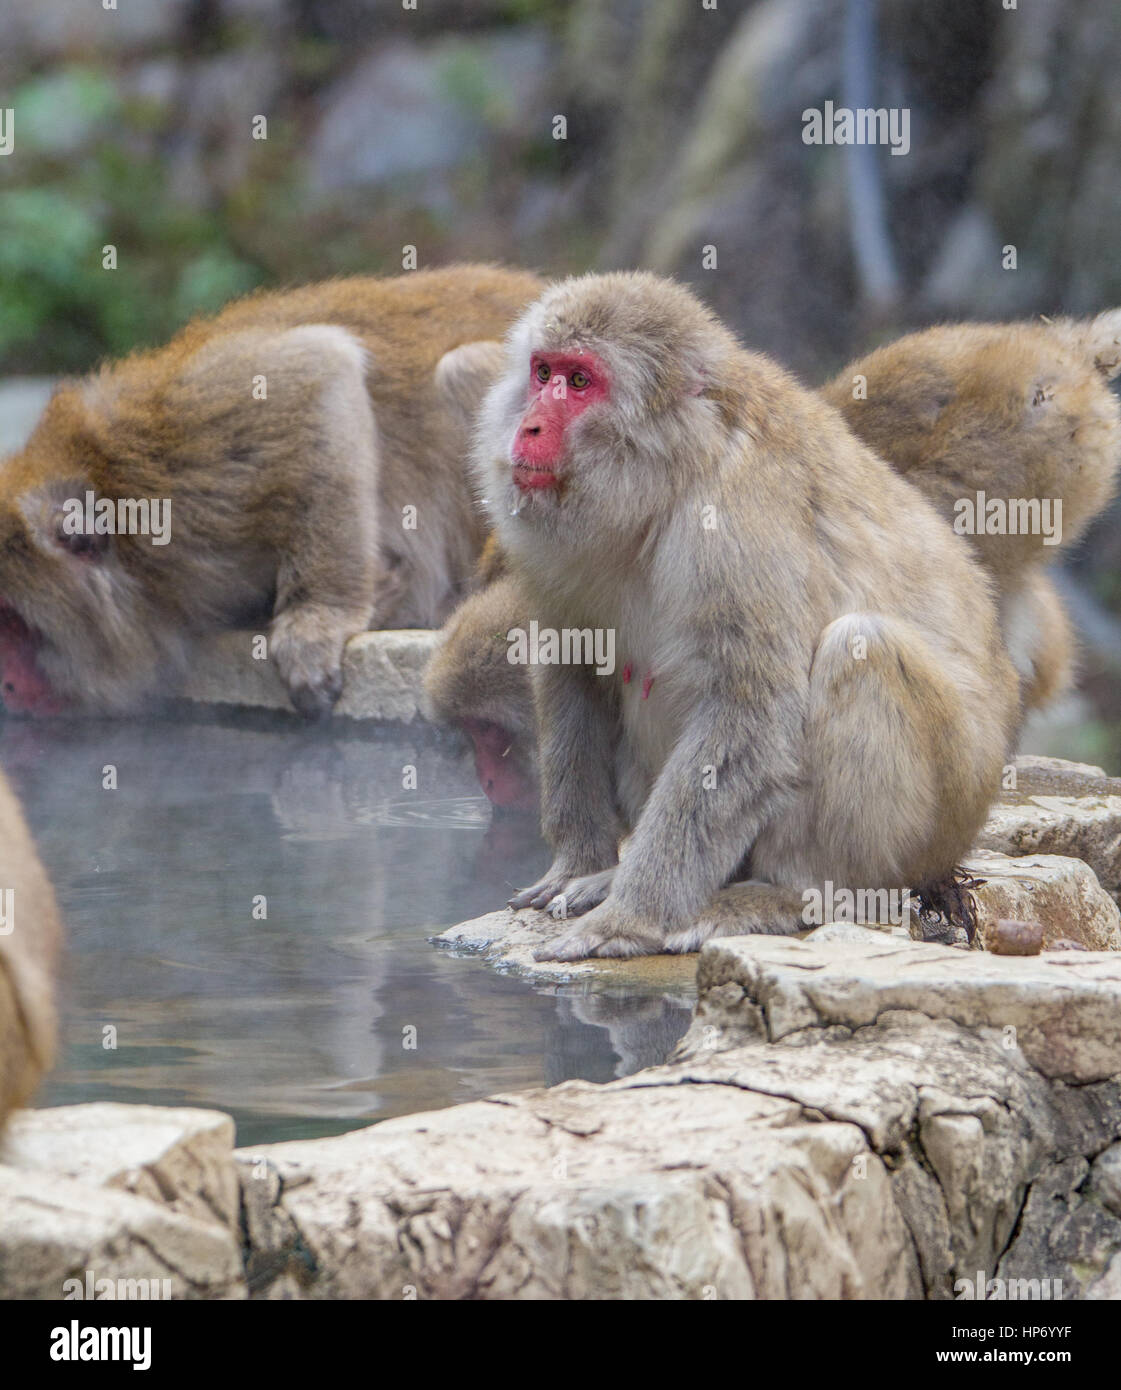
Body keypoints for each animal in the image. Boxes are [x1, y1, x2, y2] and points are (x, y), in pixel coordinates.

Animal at [0, 265, 543, 719]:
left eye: (11, 624)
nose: (5, 686)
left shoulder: (186, 457)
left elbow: (317, 368)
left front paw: (317, 620)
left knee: (460, 370)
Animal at [471, 271, 1026, 959]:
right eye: (542, 370)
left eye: (579, 382)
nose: (528, 428)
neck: (674, 473)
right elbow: (576, 667)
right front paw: (581, 866)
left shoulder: (736, 526)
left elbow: (749, 716)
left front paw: (627, 919)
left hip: (940, 821)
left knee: (861, 649)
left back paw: (797, 892)